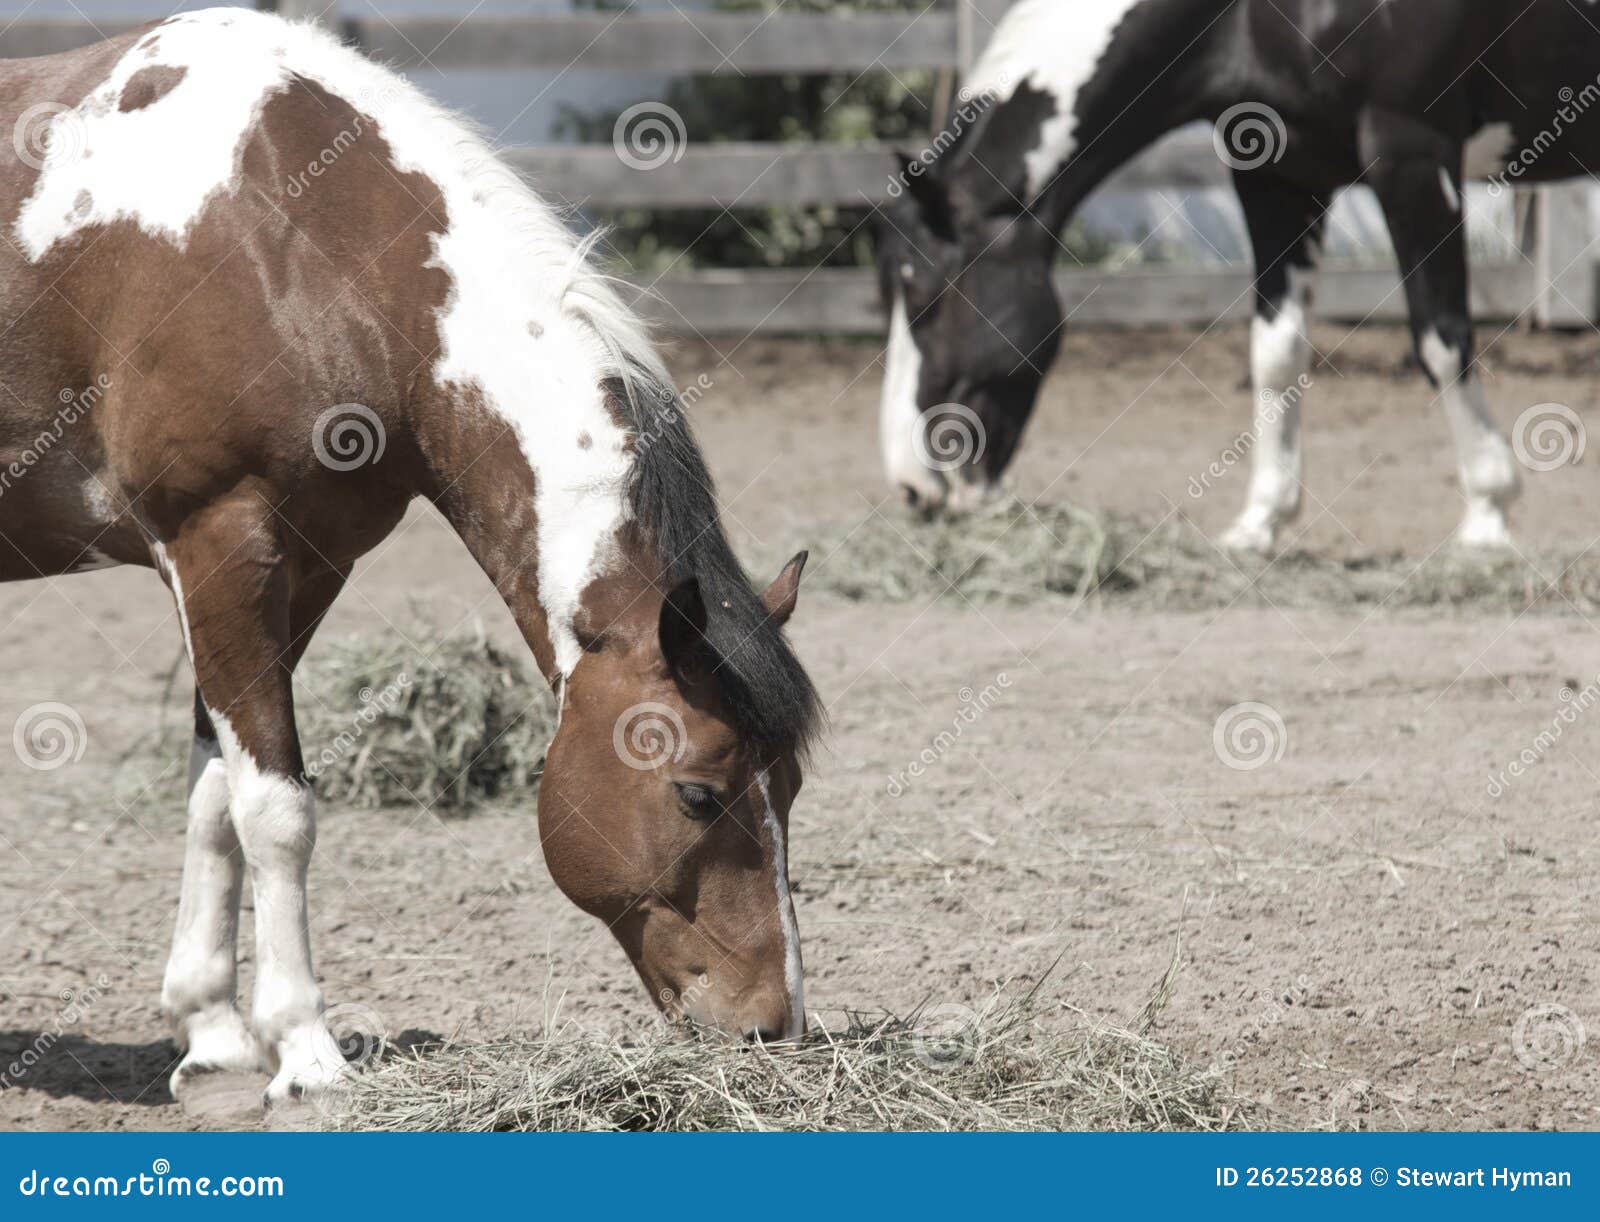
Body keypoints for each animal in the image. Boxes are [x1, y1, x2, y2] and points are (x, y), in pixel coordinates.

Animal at [0, 8, 821, 1105]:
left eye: (792, 786)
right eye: (697, 791)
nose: (774, 1026)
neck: (286, 236)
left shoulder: (302, 568)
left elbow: (215, 791)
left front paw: (212, 1034)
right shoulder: (219, 544)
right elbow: (276, 810)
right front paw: (305, 1049)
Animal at [875, 0, 1600, 552]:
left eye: (924, 295)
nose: (911, 484)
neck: (1245, 16)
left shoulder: (1412, 156)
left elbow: (1441, 339)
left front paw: (1488, 514)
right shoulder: (1278, 174)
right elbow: (1276, 351)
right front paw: (1261, 522)